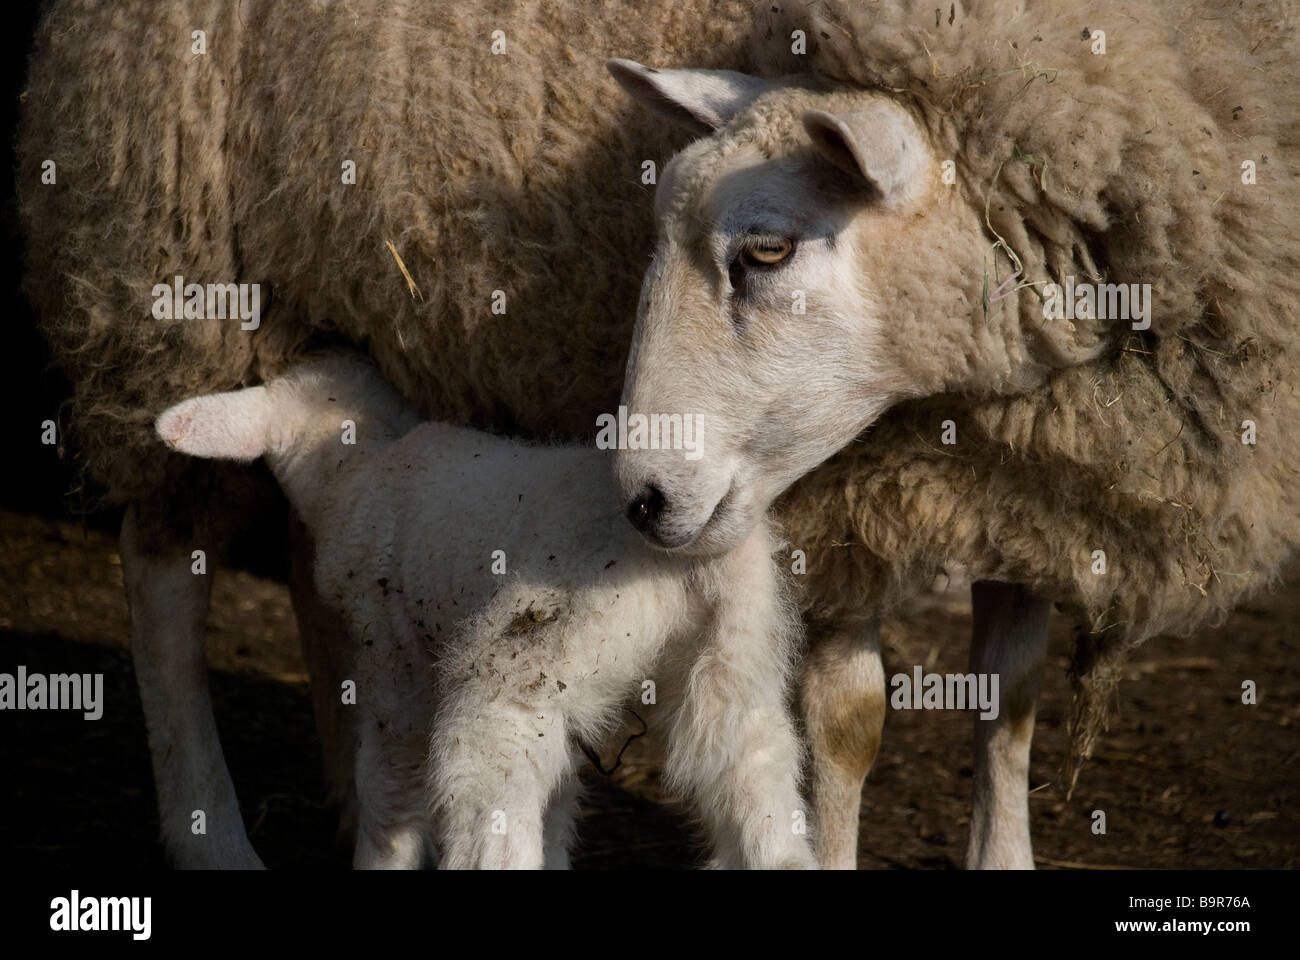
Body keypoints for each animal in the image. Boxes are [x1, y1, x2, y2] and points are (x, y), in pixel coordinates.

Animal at [153, 351, 815, 869]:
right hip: (738, 658)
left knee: (493, 828)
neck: (358, 467)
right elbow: (556, 810)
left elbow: (389, 788)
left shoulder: (388, 648)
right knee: (762, 796)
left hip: (525, 662)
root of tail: (689, 552)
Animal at [606, 0, 1300, 868]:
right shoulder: (855, 515)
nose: (641, 499)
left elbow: (1010, 693)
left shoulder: (1023, 492)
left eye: (767, 250)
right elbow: (846, 721)